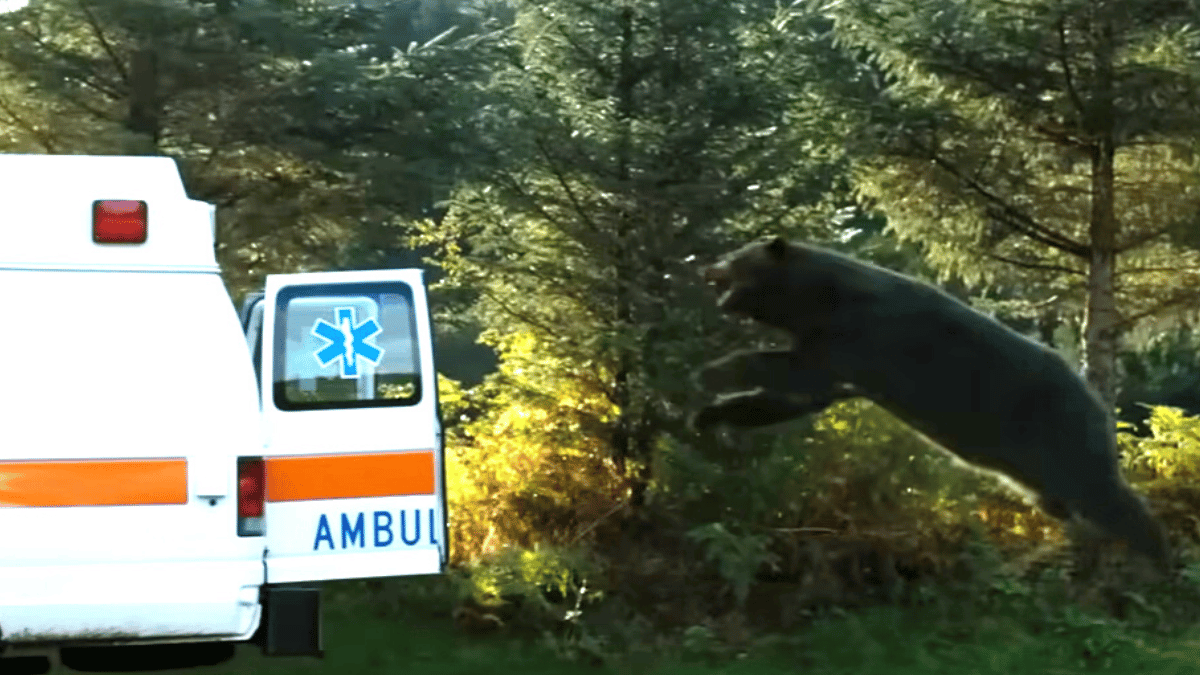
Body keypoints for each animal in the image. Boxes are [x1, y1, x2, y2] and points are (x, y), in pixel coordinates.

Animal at [692, 235, 1171, 573]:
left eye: (734, 255)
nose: (704, 266)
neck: (818, 300)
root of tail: (1097, 401)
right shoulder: (841, 354)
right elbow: (801, 396)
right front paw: (709, 413)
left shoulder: (862, 335)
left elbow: (800, 371)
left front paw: (714, 370)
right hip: (1038, 473)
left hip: (1060, 431)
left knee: (1107, 494)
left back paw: (1159, 558)